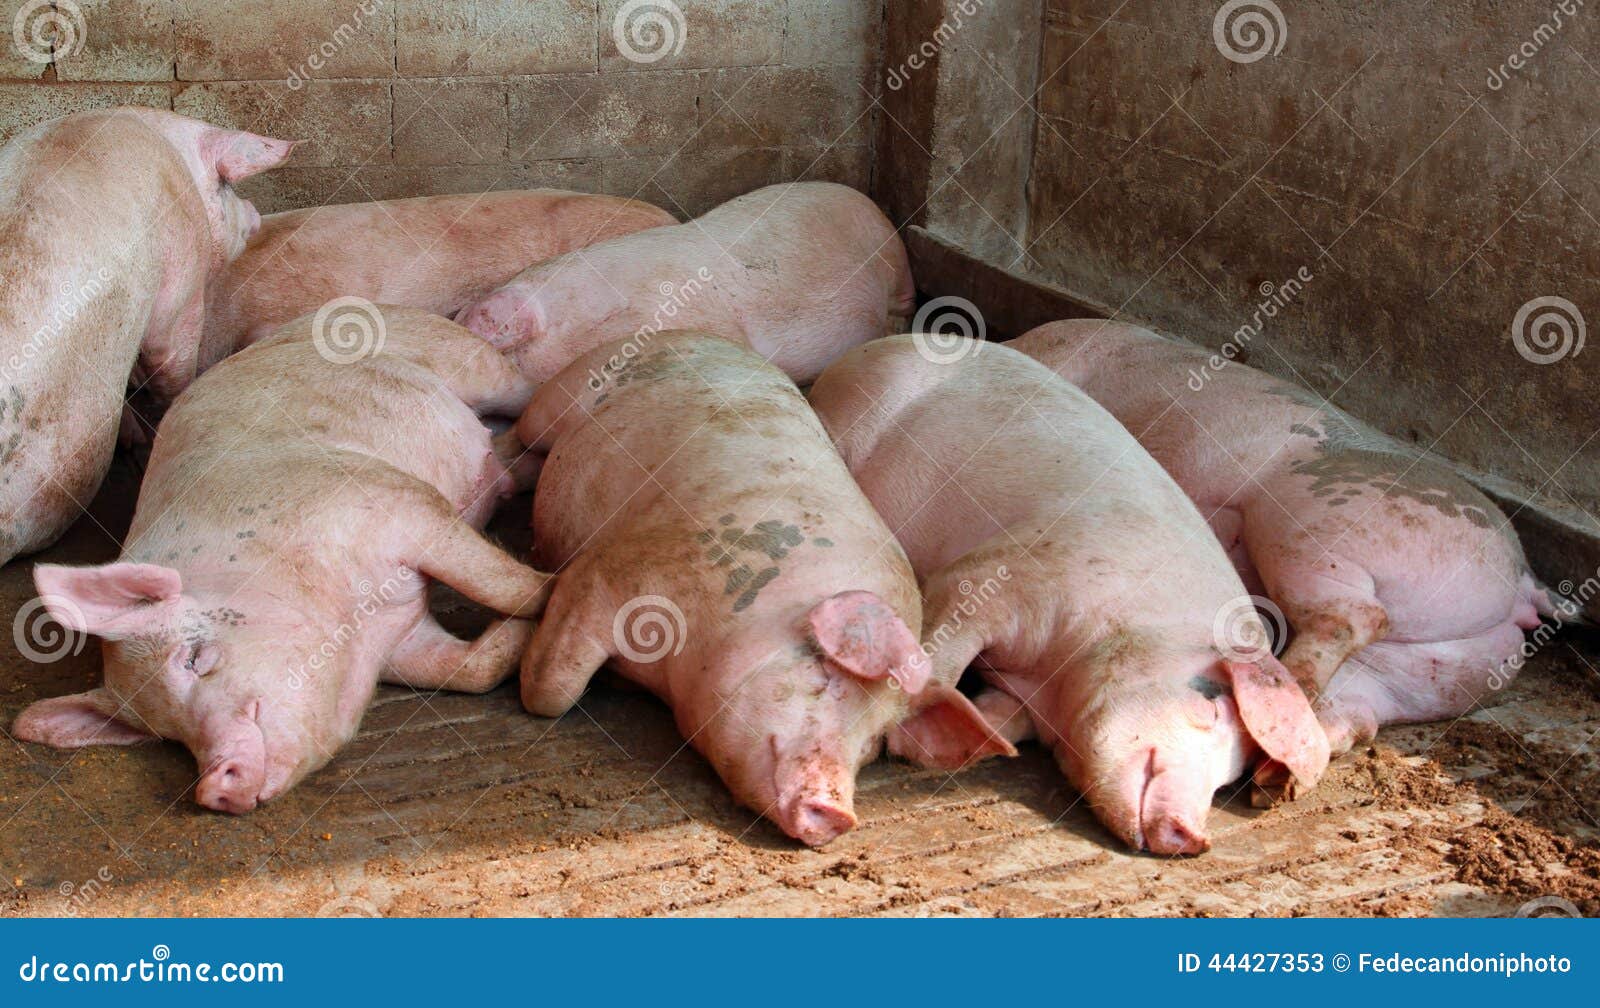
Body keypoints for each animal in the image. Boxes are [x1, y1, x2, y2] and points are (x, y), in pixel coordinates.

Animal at [11, 306, 552, 813]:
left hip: (471, 361)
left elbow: (503, 584)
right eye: (169, 734)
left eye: (195, 658)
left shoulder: (400, 505)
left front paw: (550, 596)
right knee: (509, 454)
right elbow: (470, 669)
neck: (356, 628)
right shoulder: (402, 642)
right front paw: (517, 637)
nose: (213, 785)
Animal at [513, 331, 1009, 847]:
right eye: (824, 676)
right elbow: (552, 692)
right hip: (562, 395)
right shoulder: (620, 569)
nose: (838, 812)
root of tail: (700, 334)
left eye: (872, 740)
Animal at [807, 335, 1328, 855]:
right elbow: (944, 651)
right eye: (1210, 704)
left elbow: (1003, 720)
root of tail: (880, 346)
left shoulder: (1021, 692)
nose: (1196, 837)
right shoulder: (992, 573)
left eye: (1229, 777)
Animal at [1010, 320, 1559, 790]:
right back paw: (1277, 778)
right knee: (1356, 714)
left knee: (1354, 617)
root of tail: (1523, 583)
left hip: (1309, 523)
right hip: (1436, 672)